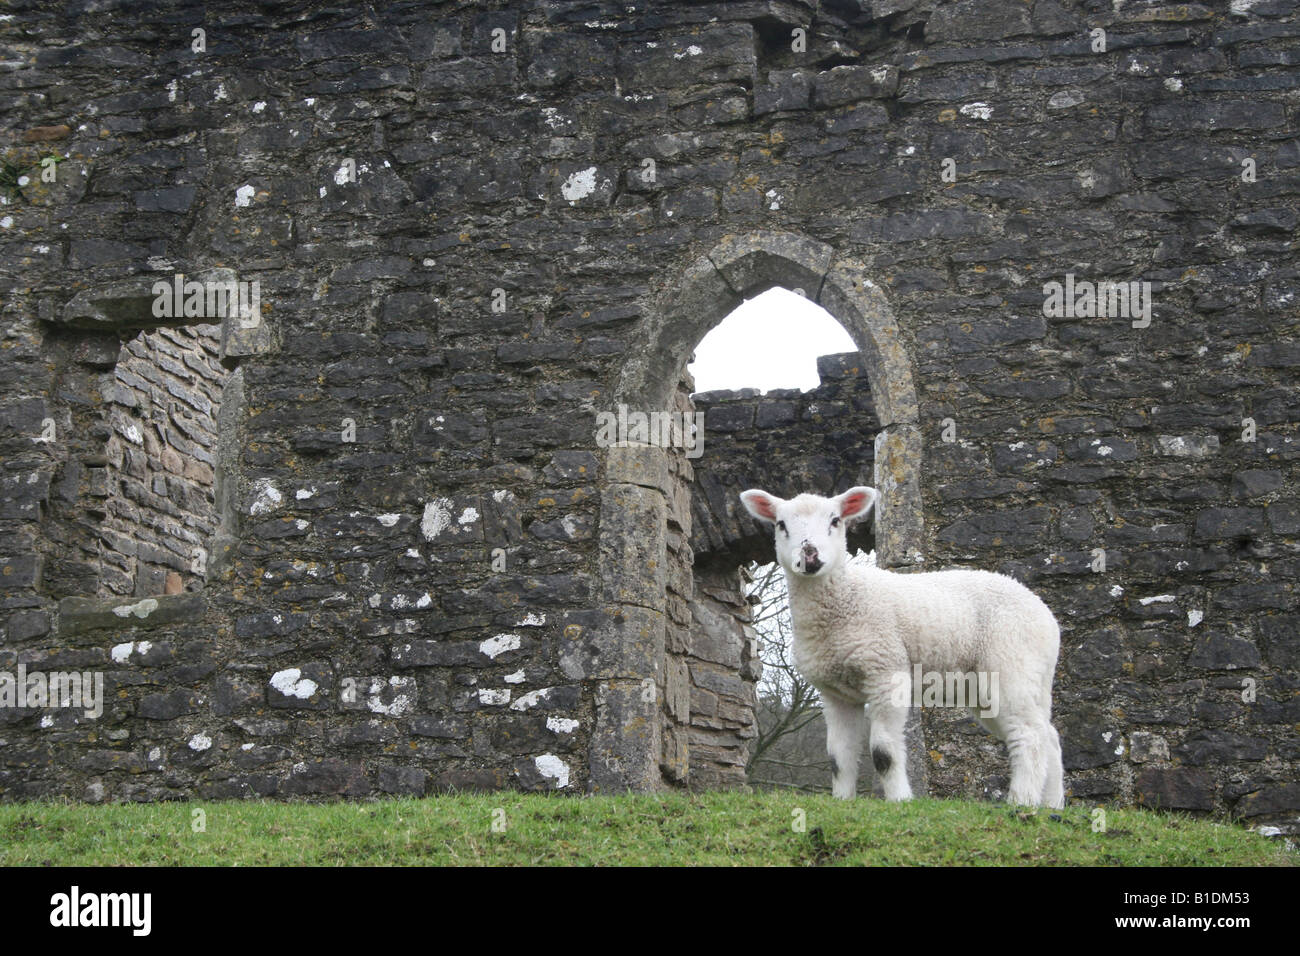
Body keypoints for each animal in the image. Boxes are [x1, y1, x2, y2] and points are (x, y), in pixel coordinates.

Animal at [740, 485, 1064, 808]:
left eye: (835, 520)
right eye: (781, 524)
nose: (810, 557)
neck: (843, 600)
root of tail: (1046, 616)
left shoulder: (886, 670)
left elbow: (883, 753)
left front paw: (900, 800)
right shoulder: (835, 691)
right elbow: (838, 757)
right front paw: (843, 800)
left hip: (1011, 662)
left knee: (1029, 735)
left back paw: (1022, 802)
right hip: (1007, 682)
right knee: (1048, 734)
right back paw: (1051, 804)